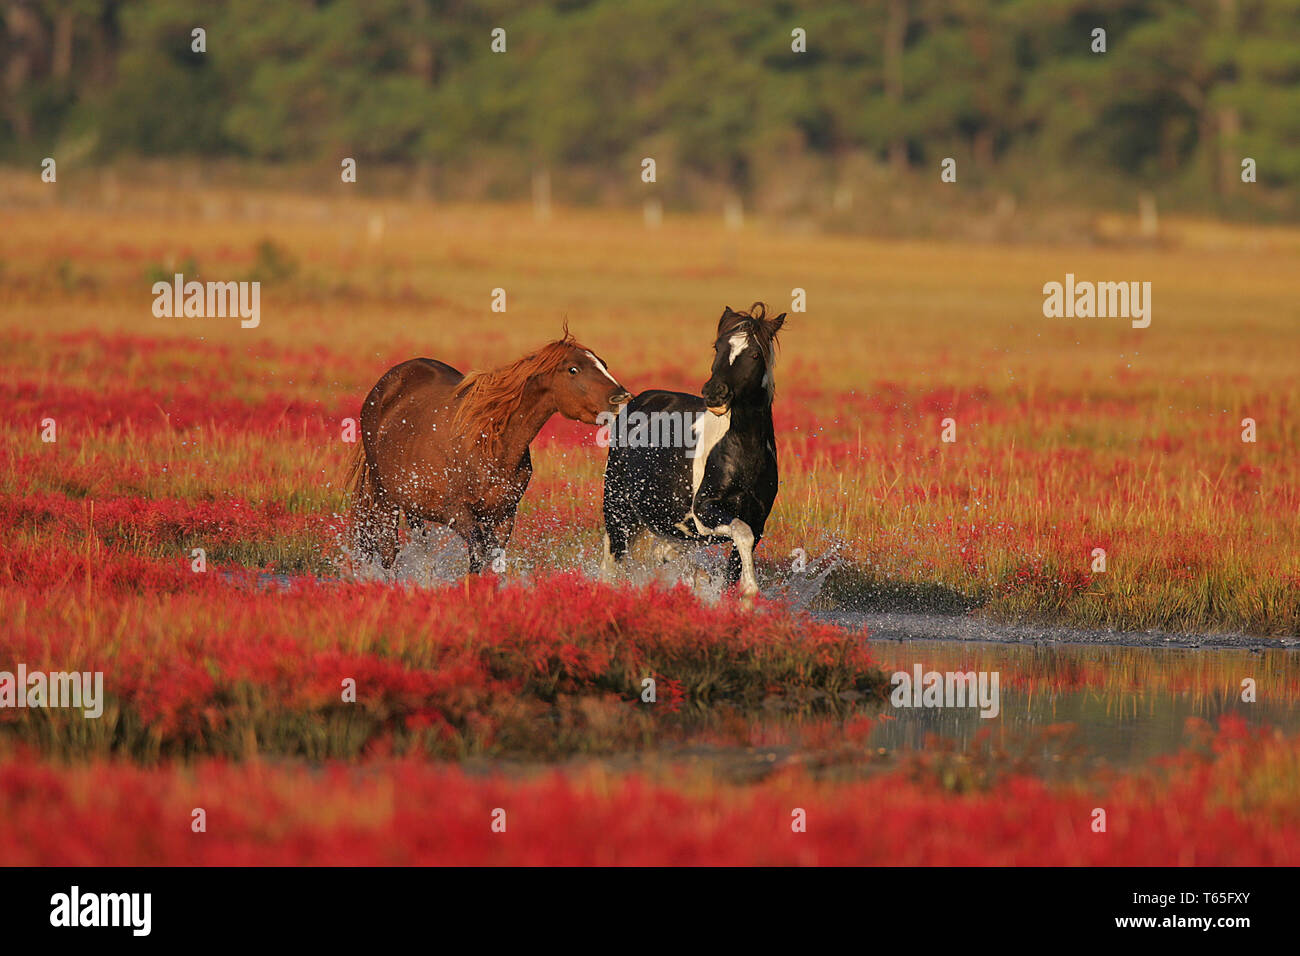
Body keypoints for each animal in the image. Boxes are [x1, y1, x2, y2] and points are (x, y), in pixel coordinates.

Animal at [348, 330, 631, 573]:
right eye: (573, 369)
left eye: (603, 364)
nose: (622, 398)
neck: (490, 443)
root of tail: (381, 390)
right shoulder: (458, 513)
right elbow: (477, 555)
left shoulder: (503, 516)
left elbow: (493, 559)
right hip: (386, 502)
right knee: (388, 554)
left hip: (412, 506)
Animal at [601, 303, 785, 597]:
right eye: (718, 346)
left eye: (755, 353)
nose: (715, 392)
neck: (742, 450)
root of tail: (639, 400)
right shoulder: (704, 510)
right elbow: (739, 532)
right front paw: (749, 590)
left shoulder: (757, 521)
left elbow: (735, 561)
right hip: (618, 509)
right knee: (613, 562)